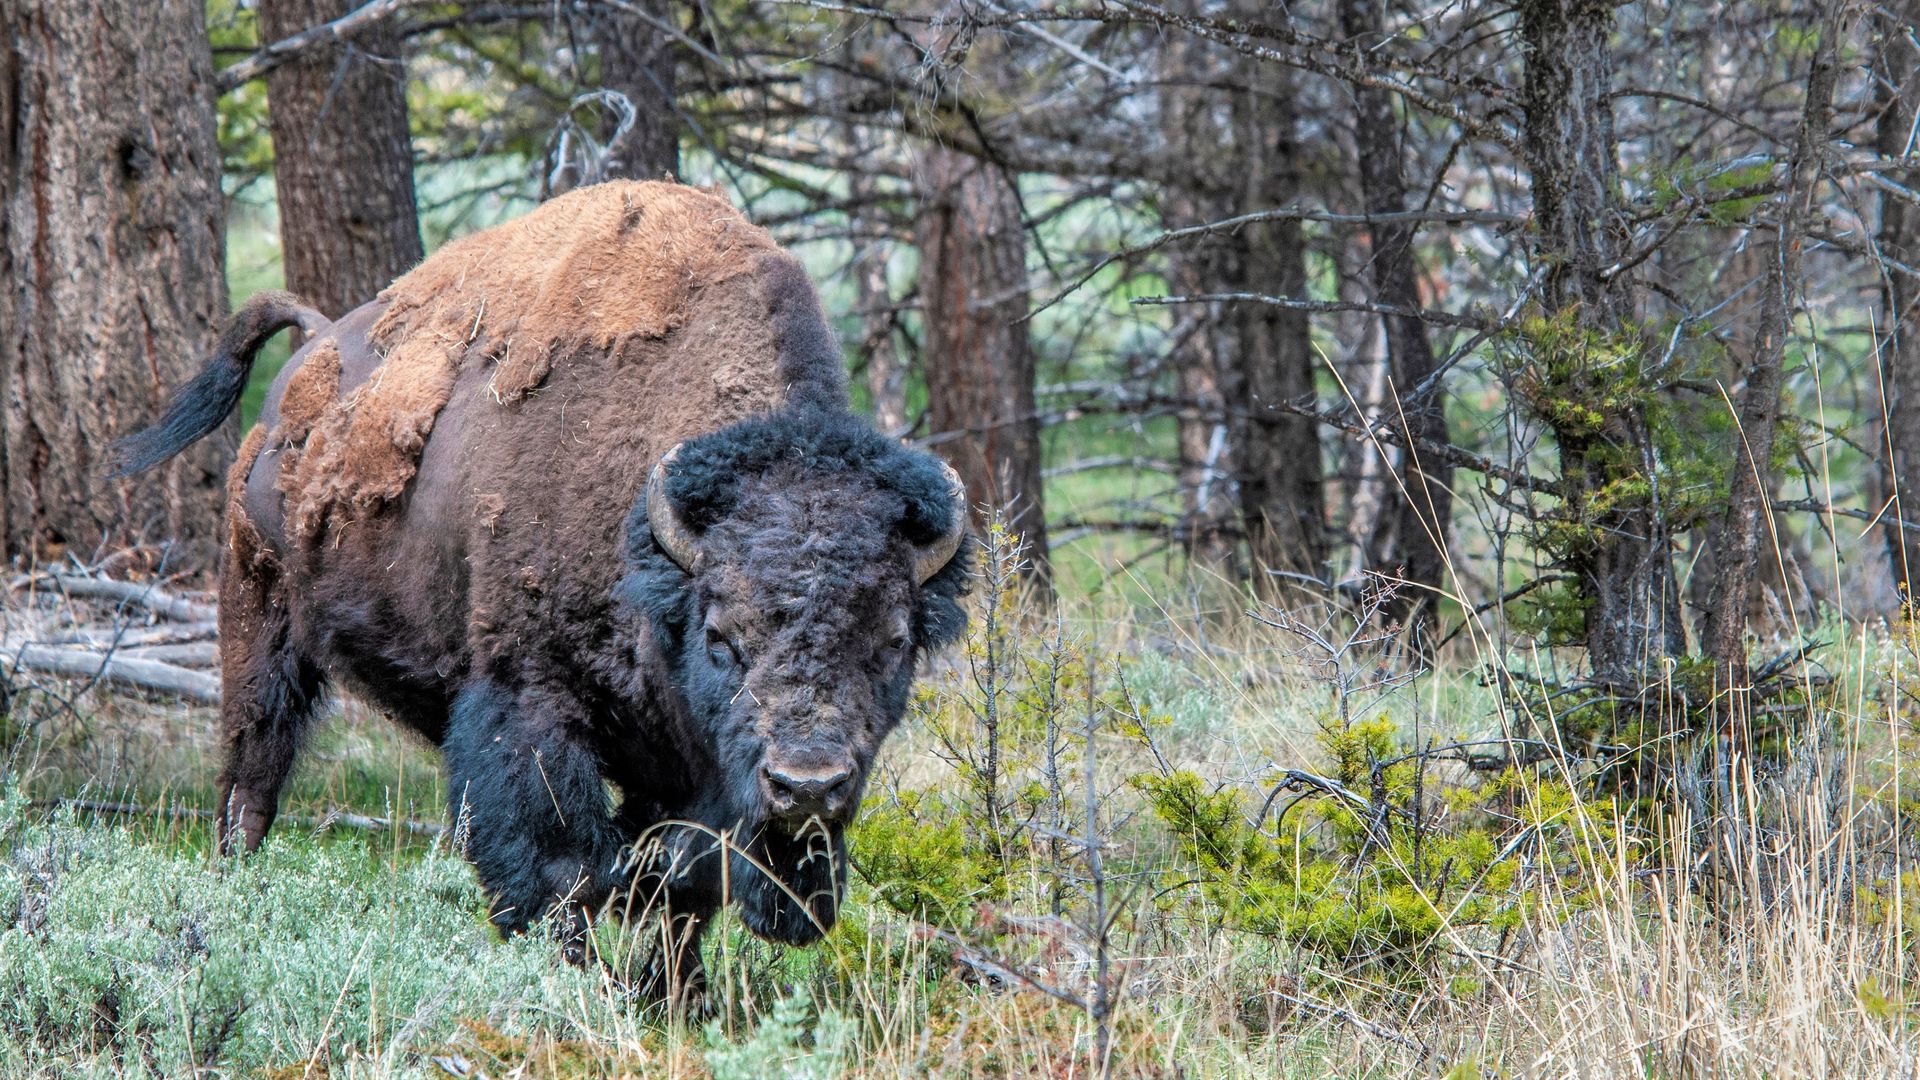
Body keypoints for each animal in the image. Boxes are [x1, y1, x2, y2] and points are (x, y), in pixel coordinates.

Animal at [114, 181, 972, 1001]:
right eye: (722, 636)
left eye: (895, 641)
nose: (808, 783)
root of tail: (305, 369)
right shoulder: (530, 704)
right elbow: (563, 871)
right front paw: (578, 987)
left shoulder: (690, 772)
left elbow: (683, 891)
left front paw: (677, 999)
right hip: (257, 620)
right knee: (251, 780)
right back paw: (233, 898)